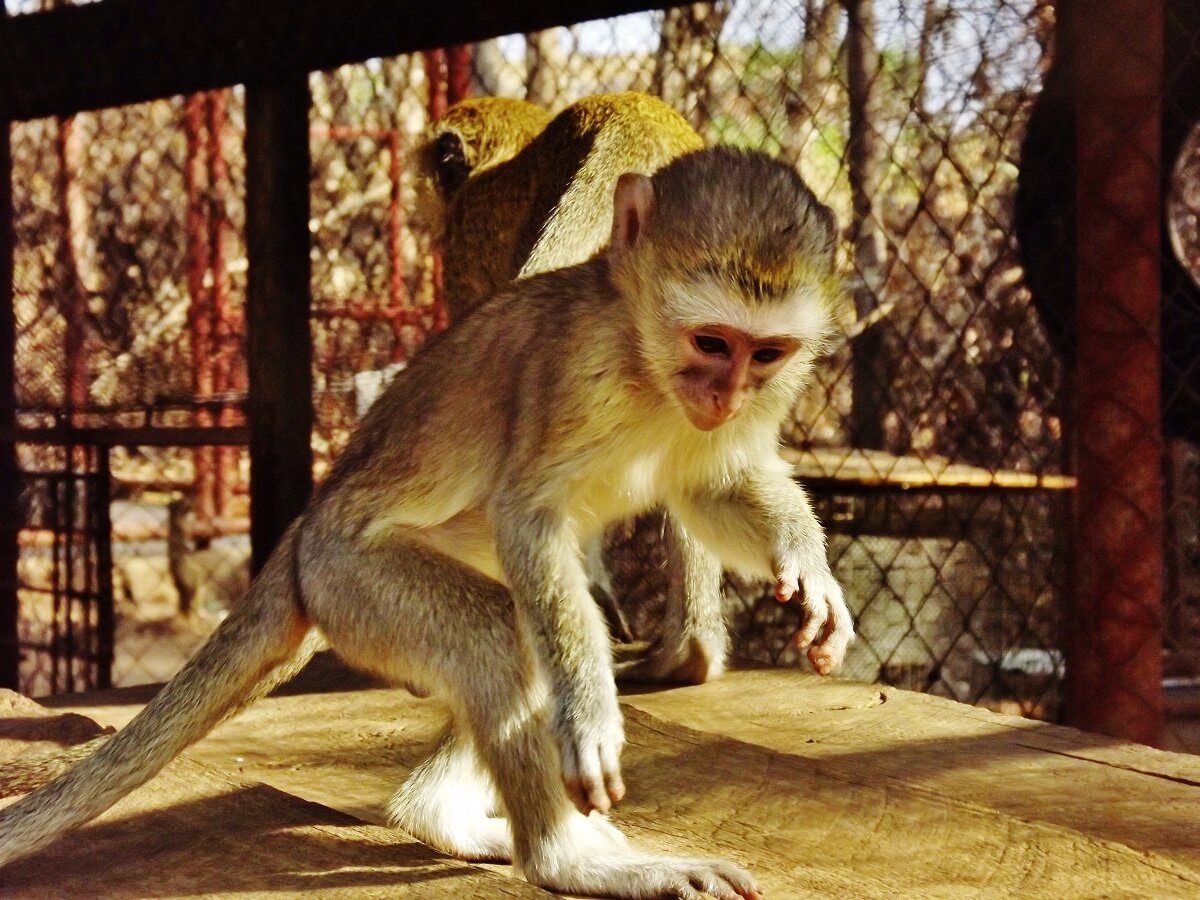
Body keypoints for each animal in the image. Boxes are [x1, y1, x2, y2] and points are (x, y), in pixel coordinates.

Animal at [0, 147, 852, 898]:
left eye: (764, 354)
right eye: (710, 341)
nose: (724, 394)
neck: (646, 360)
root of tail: (303, 536)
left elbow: (711, 485)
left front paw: (809, 569)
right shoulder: (583, 367)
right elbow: (529, 515)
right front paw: (586, 713)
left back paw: (445, 817)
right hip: (352, 583)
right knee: (498, 635)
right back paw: (561, 858)